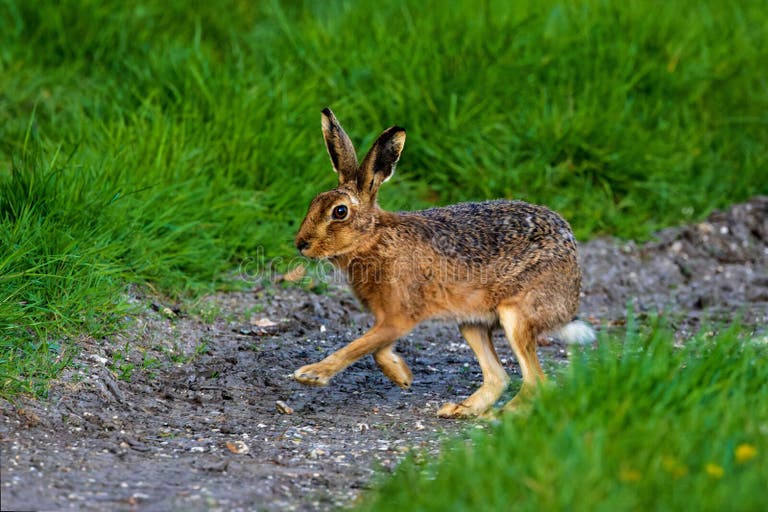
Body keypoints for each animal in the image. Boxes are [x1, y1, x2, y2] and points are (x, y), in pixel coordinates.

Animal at [293, 108, 595, 418]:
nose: (301, 244)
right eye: (314, 202)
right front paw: (403, 376)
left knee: (536, 382)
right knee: (498, 376)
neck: (374, 238)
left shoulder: (398, 316)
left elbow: (360, 346)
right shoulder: (390, 320)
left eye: (339, 212)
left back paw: (497, 417)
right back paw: (460, 409)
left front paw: (312, 374)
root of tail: (569, 299)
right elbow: (377, 349)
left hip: (516, 316)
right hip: (471, 323)